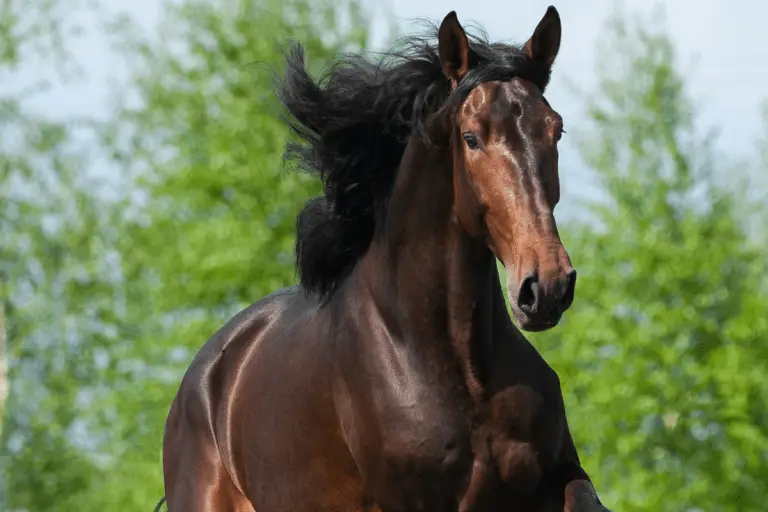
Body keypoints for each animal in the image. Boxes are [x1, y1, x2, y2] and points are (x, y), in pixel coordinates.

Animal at [159, 6, 611, 511]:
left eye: (556, 129)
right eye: (471, 138)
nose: (546, 286)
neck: (461, 368)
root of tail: (205, 375)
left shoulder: (553, 478)